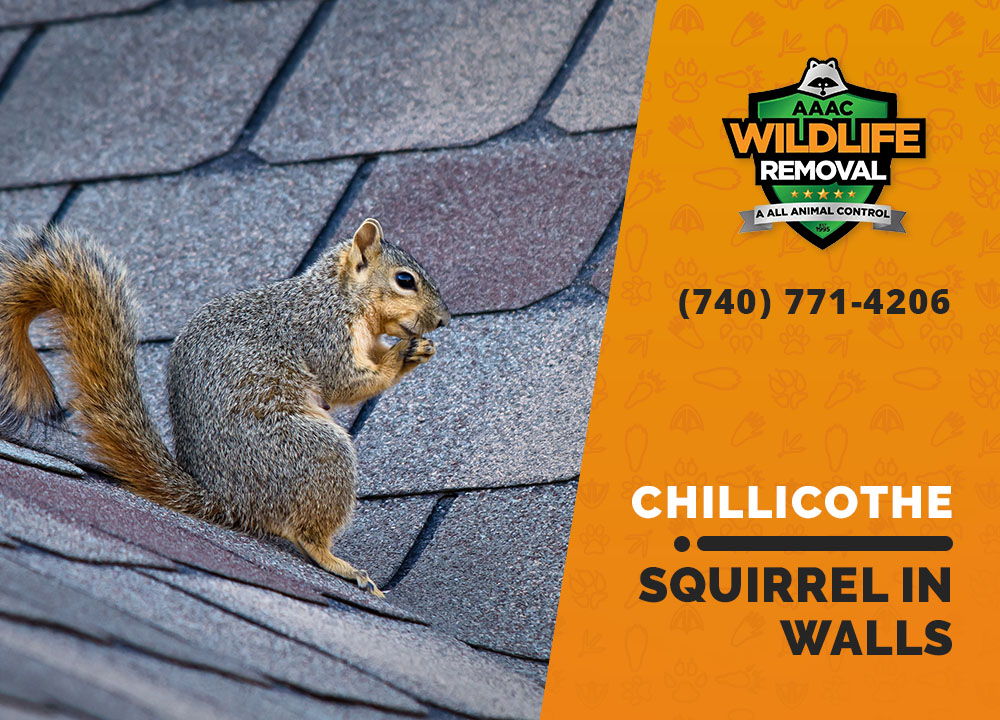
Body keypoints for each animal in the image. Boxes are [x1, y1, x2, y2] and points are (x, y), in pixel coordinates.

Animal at [0, 219, 450, 597]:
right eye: (404, 280)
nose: (444, 320)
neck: (338, 296)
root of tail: (227, 499)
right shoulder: (321, 334)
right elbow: (345, 382)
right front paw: (401, 356)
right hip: (315, 453)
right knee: (306, 534)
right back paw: (337, 562)